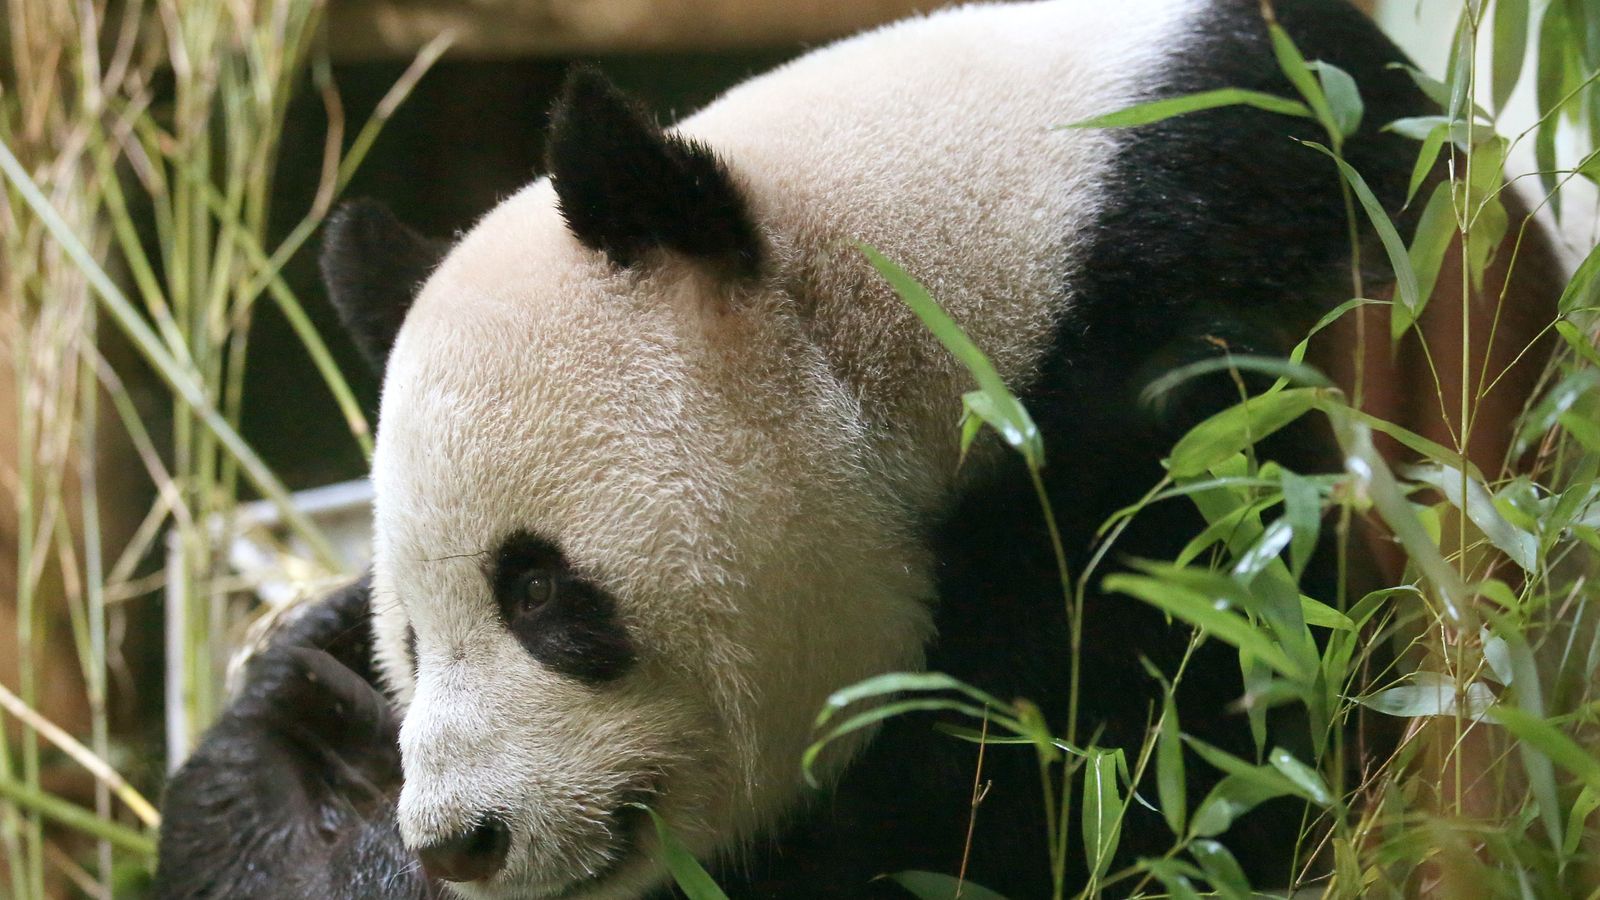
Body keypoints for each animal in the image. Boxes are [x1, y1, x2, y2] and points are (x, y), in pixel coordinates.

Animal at [154, 1, 1503, 897]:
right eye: (412, 642)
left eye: (537, 590)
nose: (457, 842)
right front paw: (319, 761)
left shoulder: (1213, 375)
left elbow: (1143, 765)